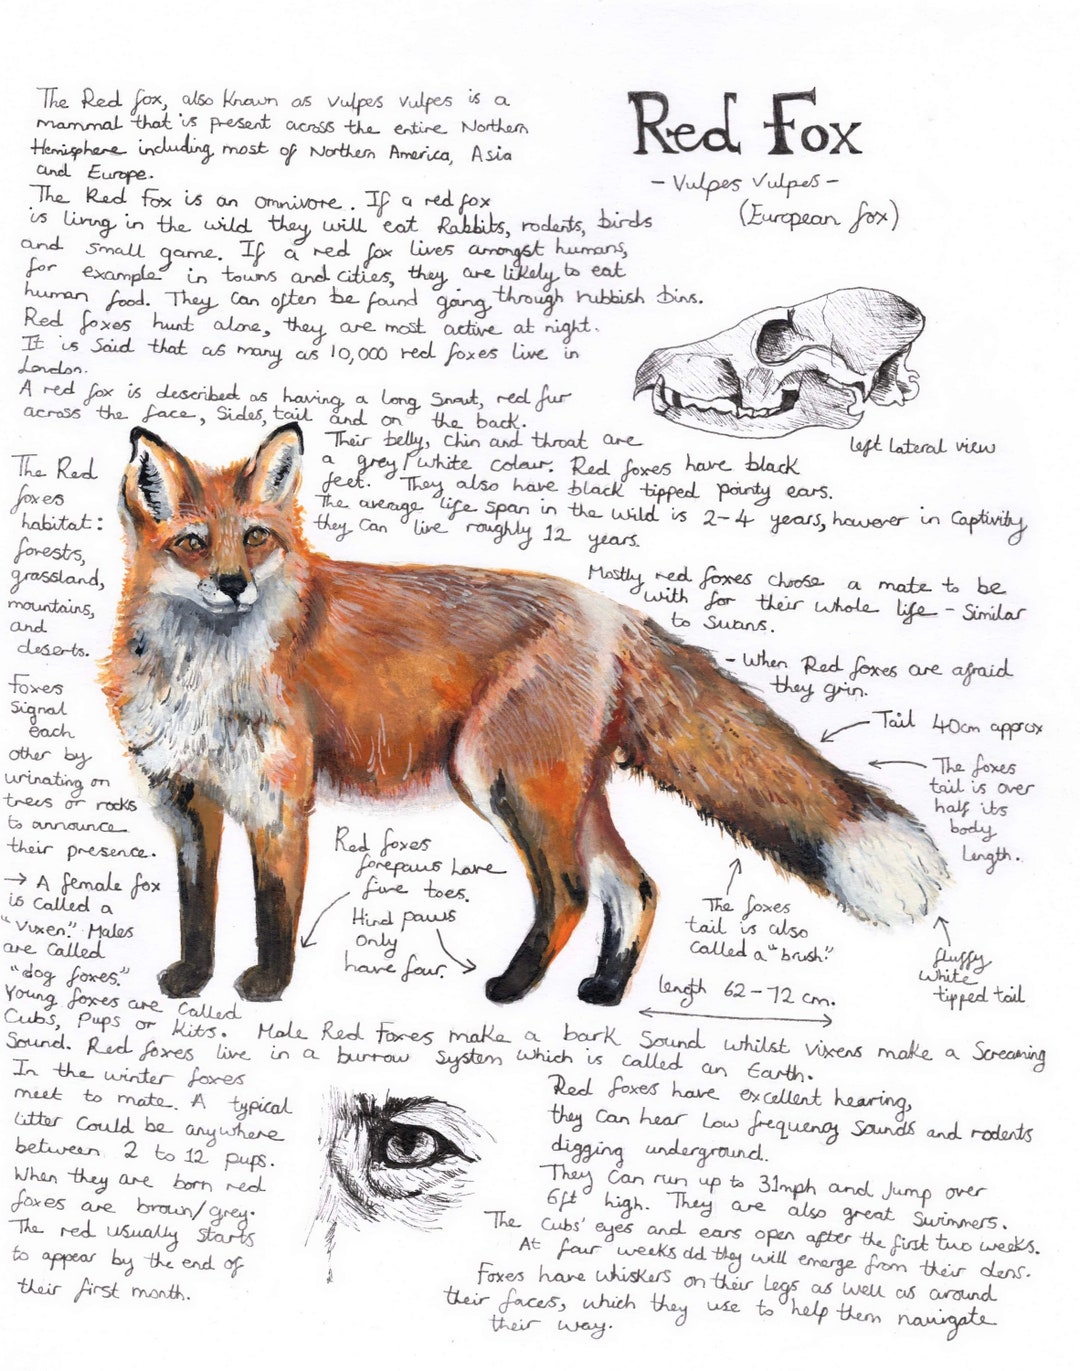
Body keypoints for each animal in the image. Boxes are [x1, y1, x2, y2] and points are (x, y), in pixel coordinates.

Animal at [104, 422, 948, 1004]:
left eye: (255, 537)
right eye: (191, 542)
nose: (233, 584)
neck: (205, 669)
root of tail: (614, 611)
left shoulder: (278, 797)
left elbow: (274, 910)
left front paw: (268, 986)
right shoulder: (187, 802)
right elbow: (196, 908)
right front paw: (190, 979)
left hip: (502, 777)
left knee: (572, 889)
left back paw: (513, 987)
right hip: (564, 791)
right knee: (635, 883)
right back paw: (605, 990)